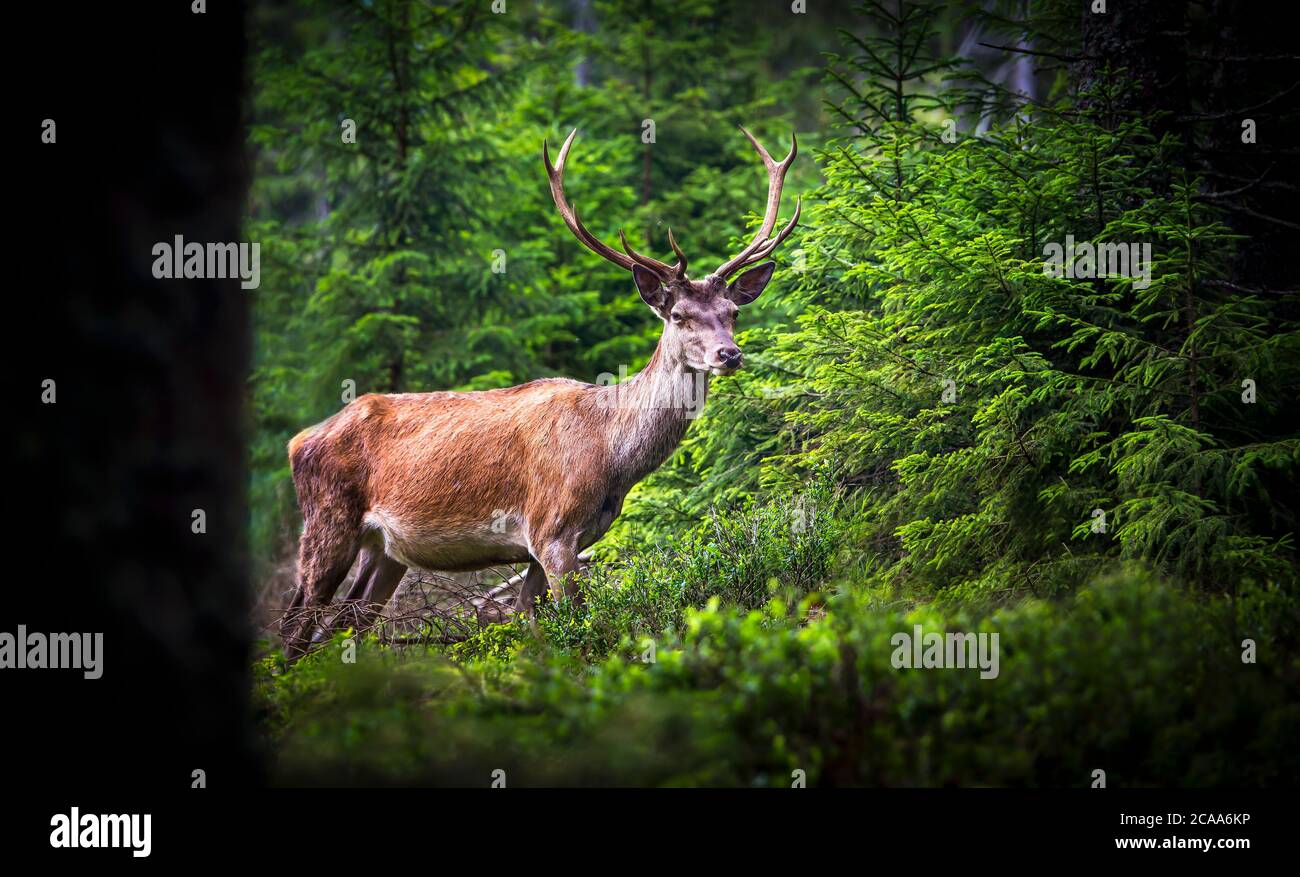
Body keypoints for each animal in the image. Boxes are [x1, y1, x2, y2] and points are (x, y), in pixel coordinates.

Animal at [280, 126, 799, 659]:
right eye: (678, 315)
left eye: (732, 312)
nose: (728, 354)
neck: (612, 454)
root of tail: (299, 441)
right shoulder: (552, 530)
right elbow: (584, 629)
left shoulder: (556, 543)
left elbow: (532, 625)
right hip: (326, 520)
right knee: (295, 625)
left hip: (386, 552)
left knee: (345, 622)